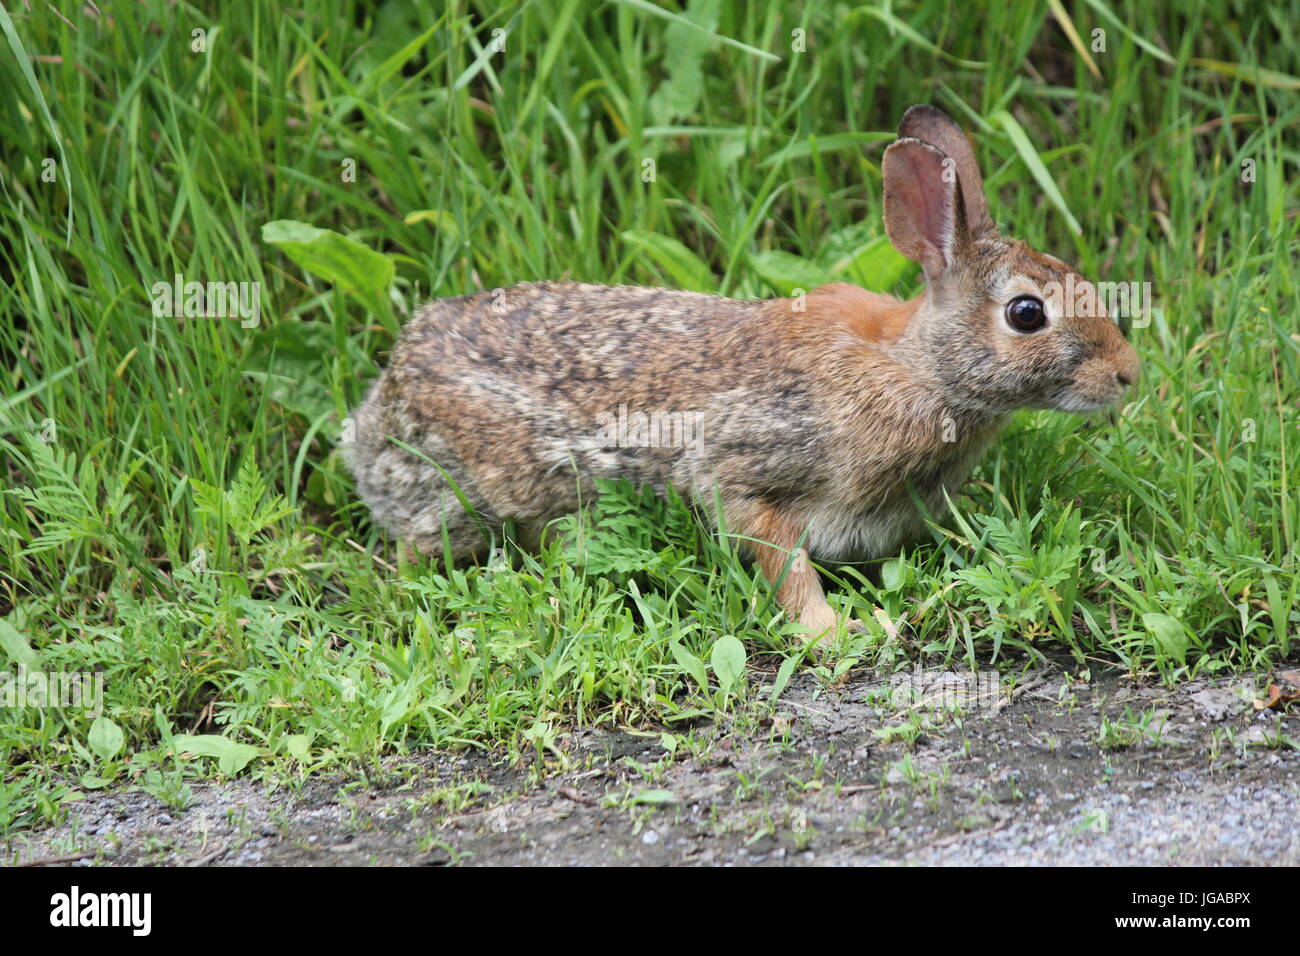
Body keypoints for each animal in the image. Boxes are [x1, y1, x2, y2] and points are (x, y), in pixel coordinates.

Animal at [344, 104, 1140, 642]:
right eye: (1027, 314)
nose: (1129, 375)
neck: (918, 369)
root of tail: (377, 415)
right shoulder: (755, 473)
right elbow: (781, 562)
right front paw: (839, 631)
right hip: (472, 492)